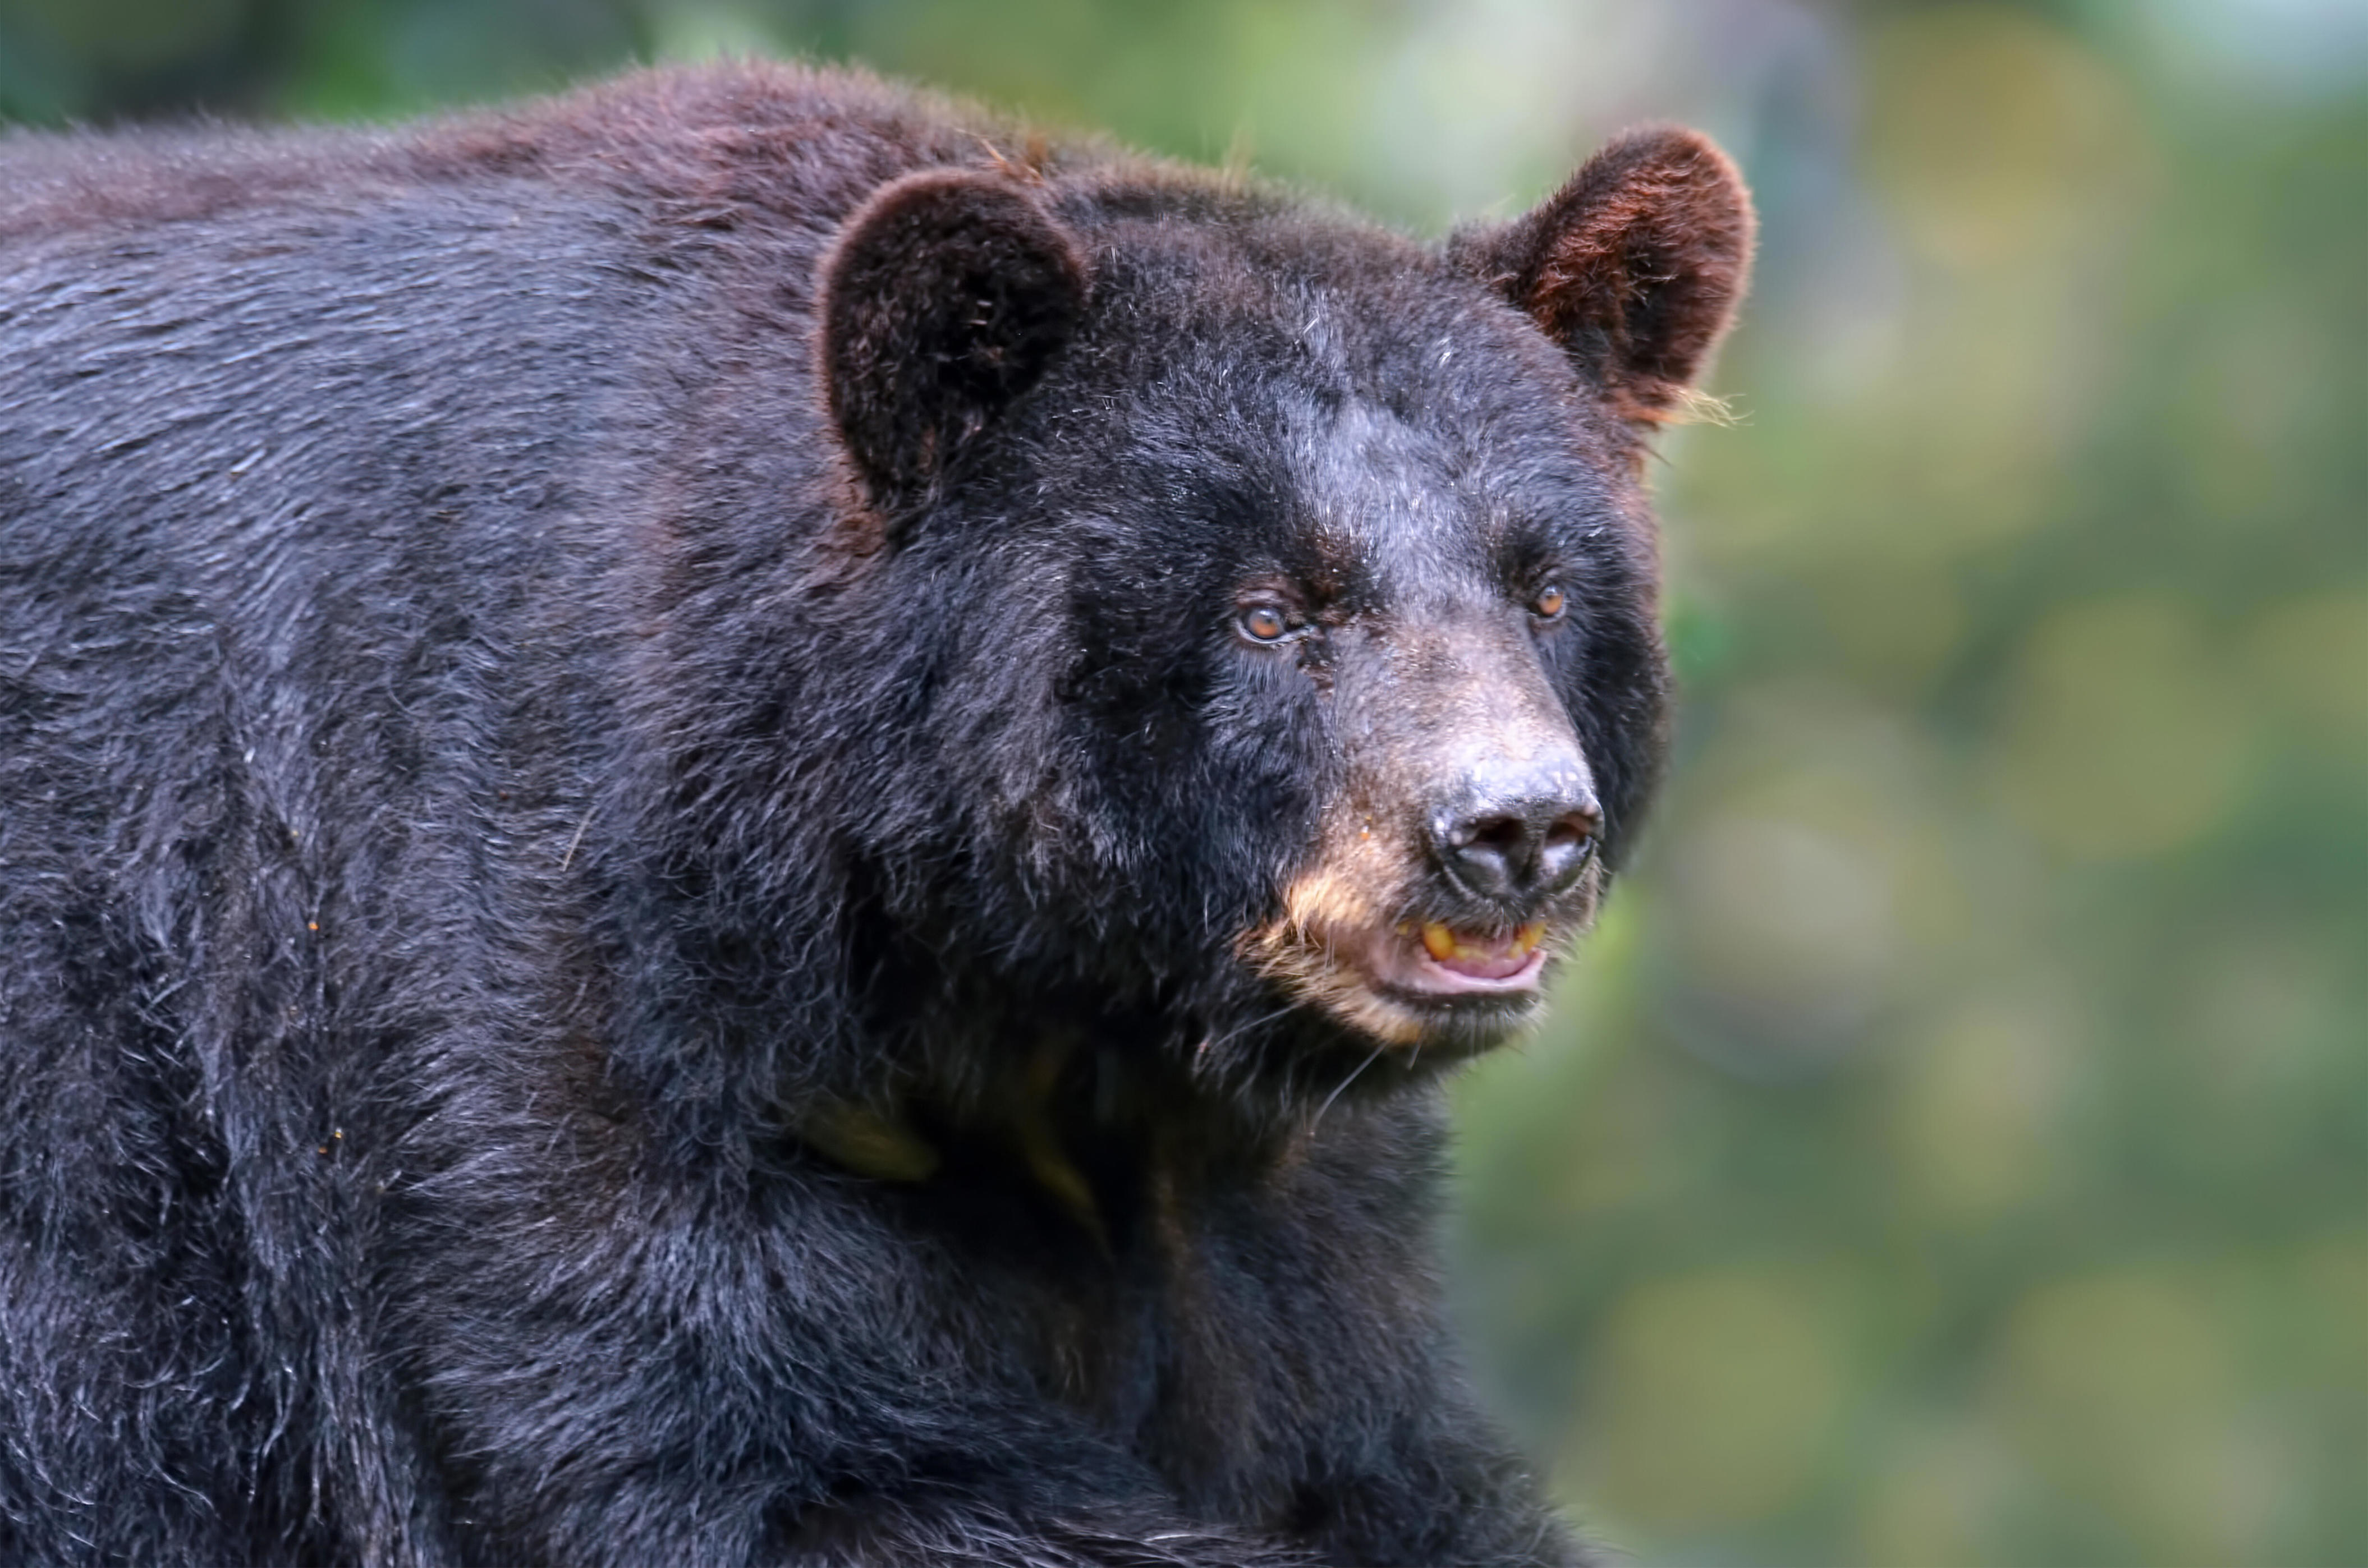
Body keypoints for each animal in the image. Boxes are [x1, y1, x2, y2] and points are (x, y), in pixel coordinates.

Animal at [0, 61, 1750, 1567]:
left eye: (1541, 588)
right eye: (1270, 611)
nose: (1512, 829)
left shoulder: (1263, 1197)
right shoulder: (493, 940)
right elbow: (702, 1424)